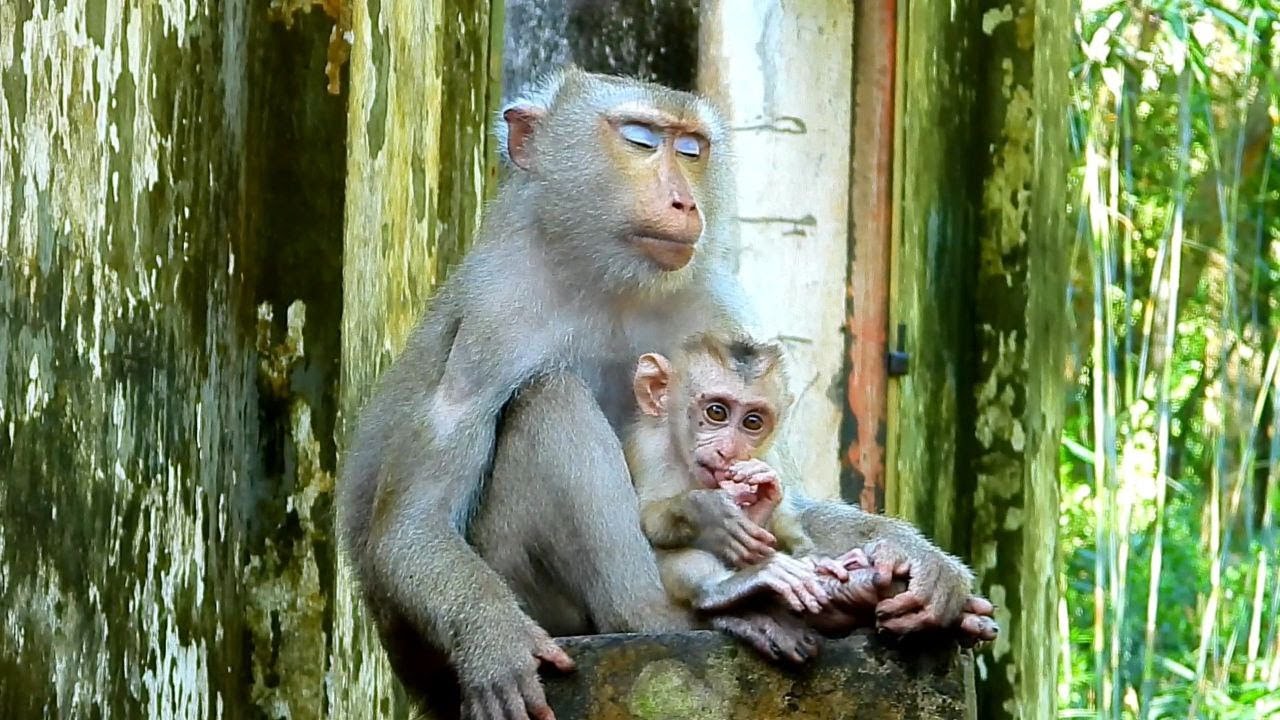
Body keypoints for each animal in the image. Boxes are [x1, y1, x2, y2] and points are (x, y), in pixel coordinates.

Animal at [338, 66, 998, 720]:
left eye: (691, 149)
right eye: (640, 139)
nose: (685, 200)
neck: (608, 280)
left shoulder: (718, 305)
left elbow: (786, 500)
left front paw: (922, 563)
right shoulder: (489, 320)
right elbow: (409, 530)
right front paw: (493, 642)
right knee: (550, 400)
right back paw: (679, 611)